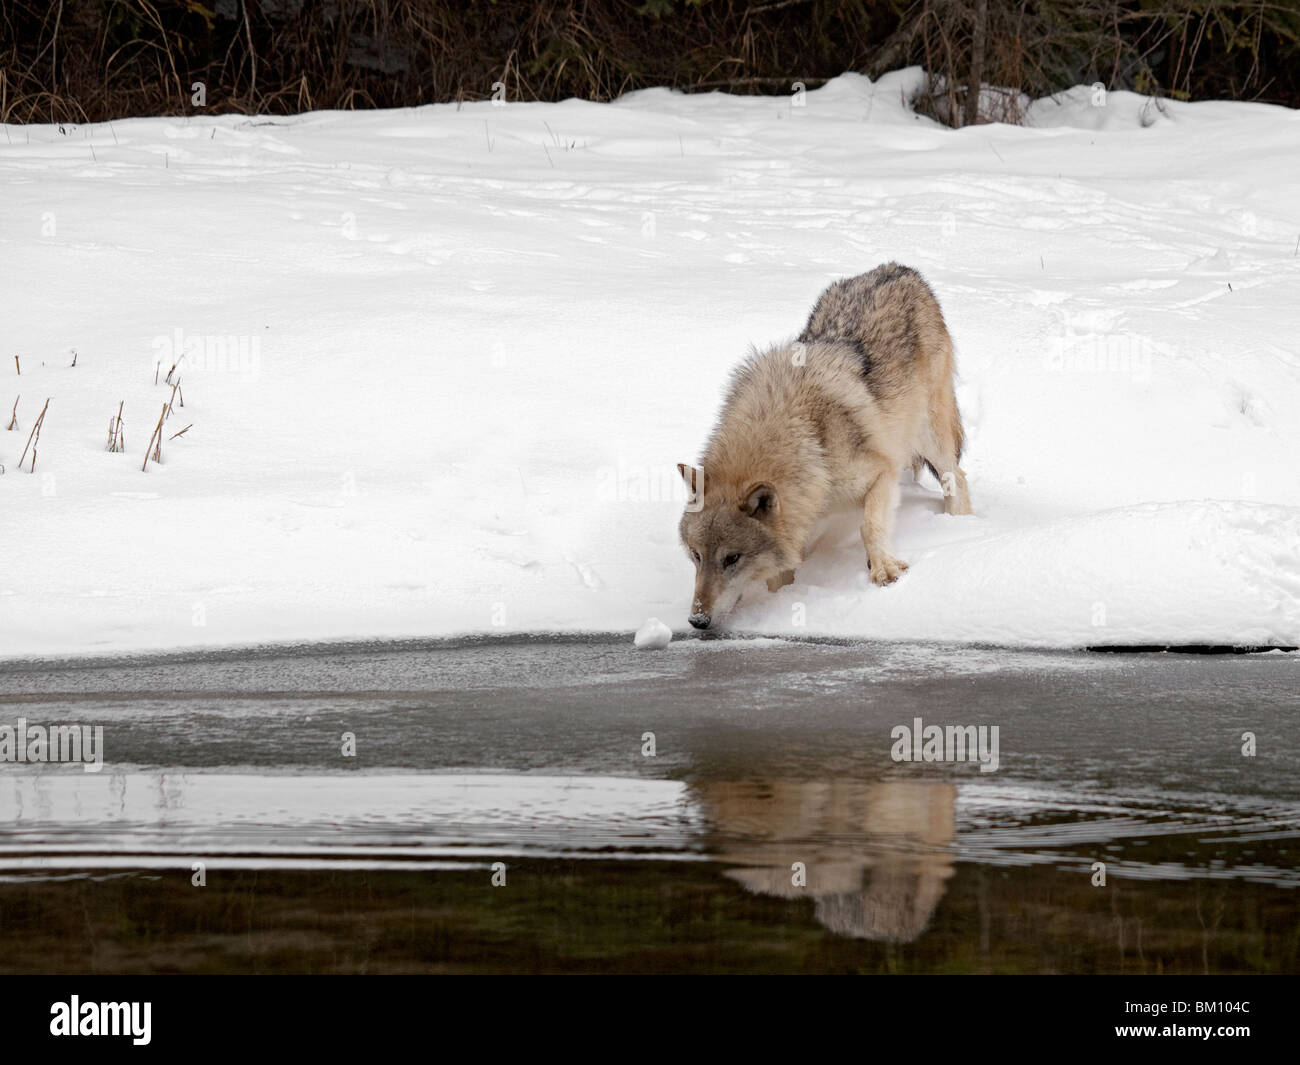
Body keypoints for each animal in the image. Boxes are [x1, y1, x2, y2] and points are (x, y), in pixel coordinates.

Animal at [677, 262, 971, 630]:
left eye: (732, 558)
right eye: (696, 555)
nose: (697, 621)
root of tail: (900, 268)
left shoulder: (881, 473)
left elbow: (868, 525)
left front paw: (884, 570)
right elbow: (781, 576)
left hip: (927, 435)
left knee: (957, 477)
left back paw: (957, 527)